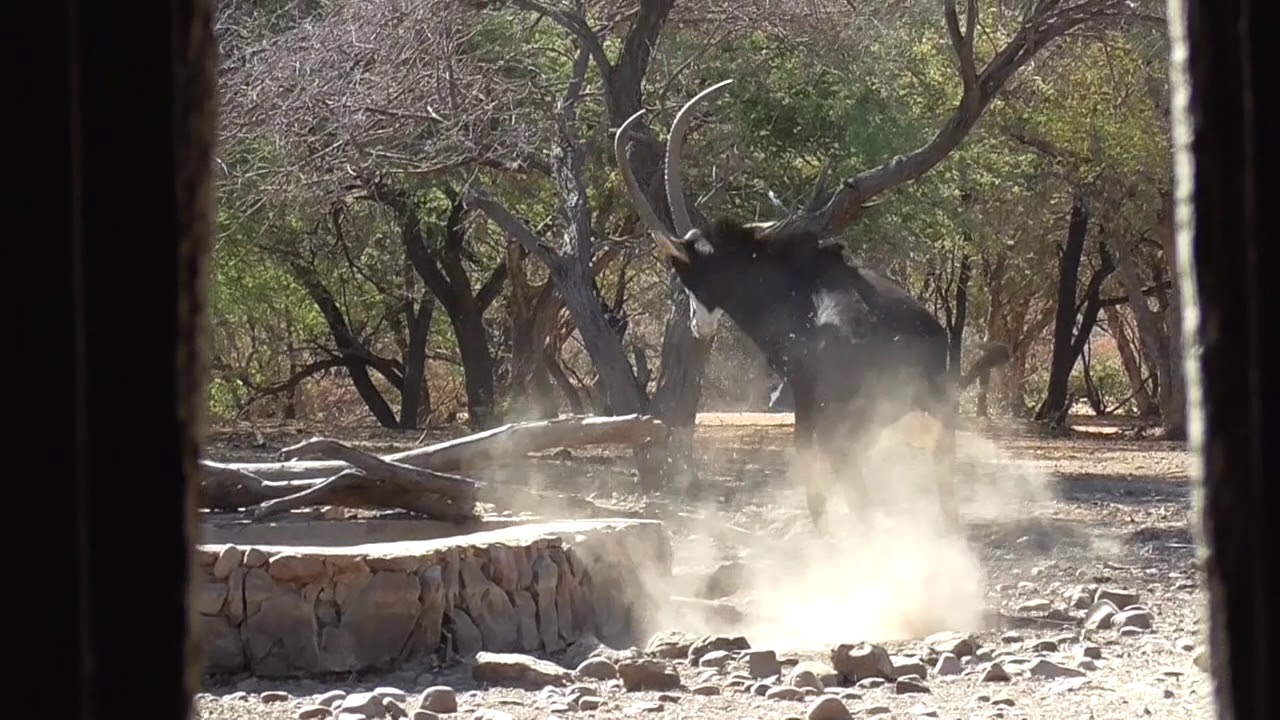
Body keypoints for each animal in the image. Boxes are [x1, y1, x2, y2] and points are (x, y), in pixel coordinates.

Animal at [614, 80, 1011, 532]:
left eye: (692, 275)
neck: (785, 281)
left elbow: (808, 459)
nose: (699, 326)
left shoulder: (801, 388)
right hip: (918, 406)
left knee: (848, 465)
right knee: (924, 465)